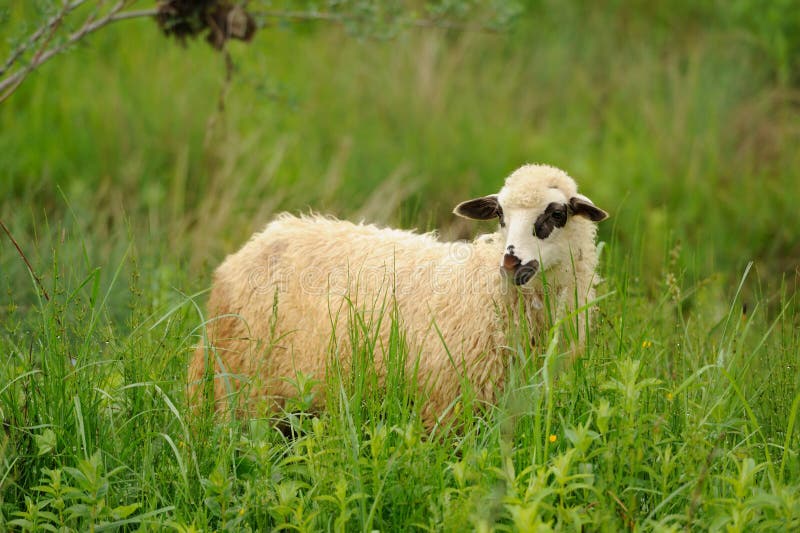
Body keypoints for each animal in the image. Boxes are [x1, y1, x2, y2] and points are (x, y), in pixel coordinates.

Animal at [188, 164, 608, 426]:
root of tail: (260, 240)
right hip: (238, 383)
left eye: (557, 215)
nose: (510, 262)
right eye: (500, 216)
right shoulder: (445, 408)